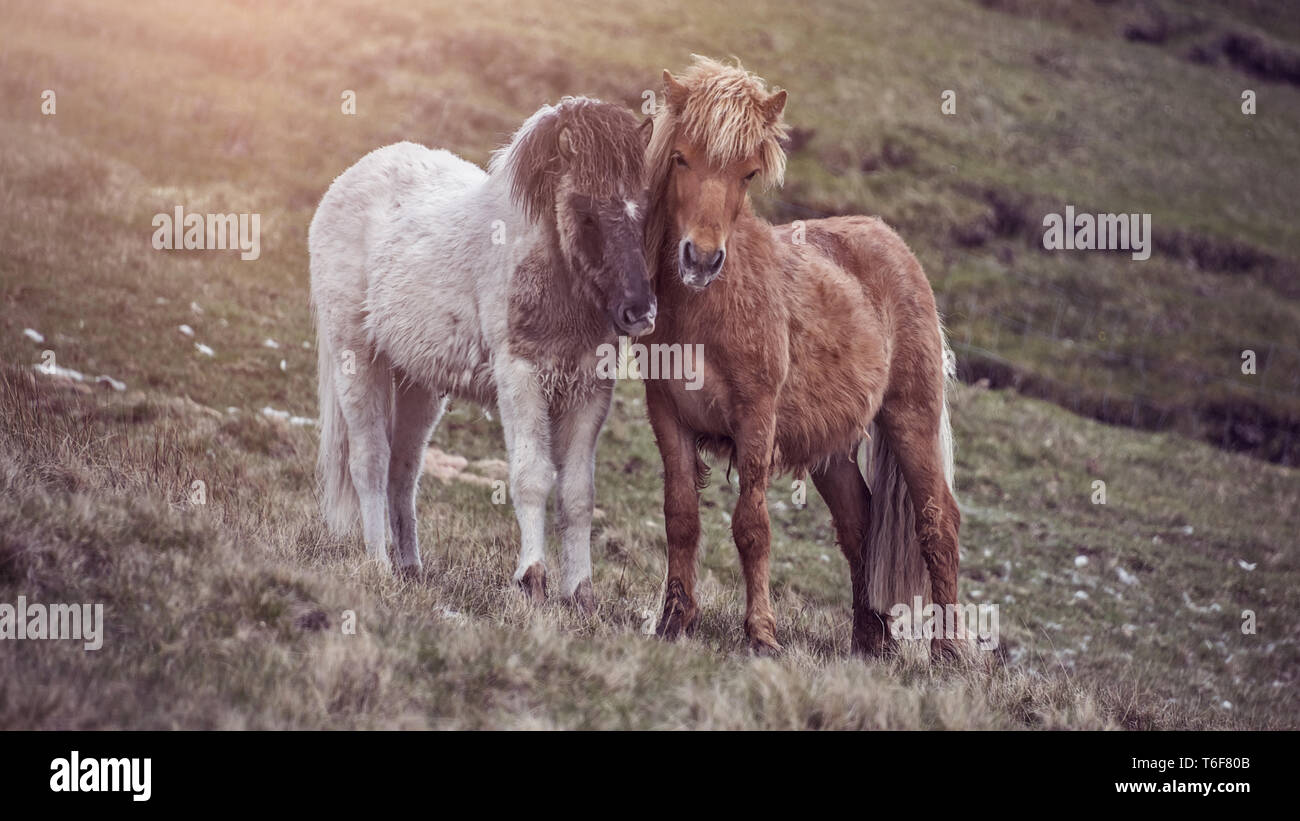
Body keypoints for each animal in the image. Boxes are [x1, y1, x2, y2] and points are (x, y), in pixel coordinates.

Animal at [309, 97, 655, 611]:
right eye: (586, 211)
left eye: (645, 208)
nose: (639, 311)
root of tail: (345, 182)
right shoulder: (521, 380)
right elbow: (532, 478)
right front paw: (532, 579)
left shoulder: (589, 392)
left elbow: (578, 495)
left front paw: (580, 594)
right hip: (357, 359)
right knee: (369, 462)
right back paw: (380, 565)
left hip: (418, 384)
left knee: (403, 472)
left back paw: (411, 568)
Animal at [641, 57, 960, 658]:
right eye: (680, 157)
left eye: (747, 173)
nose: (701, 259)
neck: (707, 308)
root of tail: (892, 243)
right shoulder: (667, 416)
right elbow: (681, 518)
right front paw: (673, 621)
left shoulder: (756, 420)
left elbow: (752, 526)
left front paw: (762, 634)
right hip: (832, 448)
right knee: (860, 524)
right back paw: (871, 641)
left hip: (911, 418)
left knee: (938, 522)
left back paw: (949, 652)